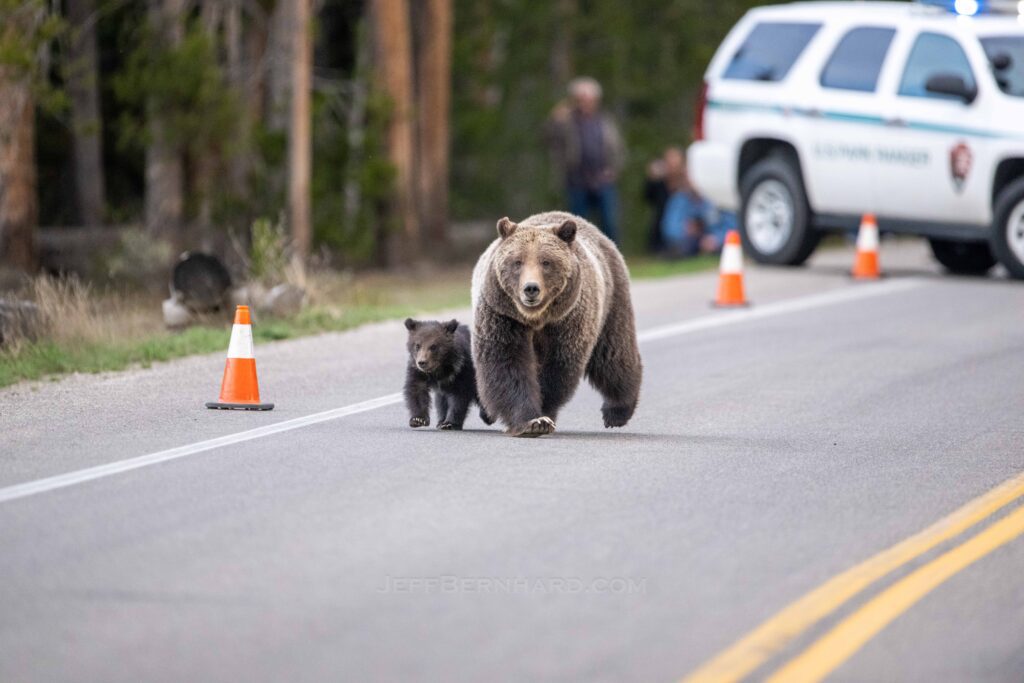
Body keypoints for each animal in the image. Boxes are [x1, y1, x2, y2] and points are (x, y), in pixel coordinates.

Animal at [470, 211, 642, 437]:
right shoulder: (503, 317)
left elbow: (557, 368)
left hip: (613, 298)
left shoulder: (567, 321)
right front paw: (531, 421)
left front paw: (542, 416)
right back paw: (486, 412)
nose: (531, 288)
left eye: (546, 262)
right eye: (517, 262)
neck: (536, 318)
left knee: (613, 355)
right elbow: (506, 363)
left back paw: (617, 411)